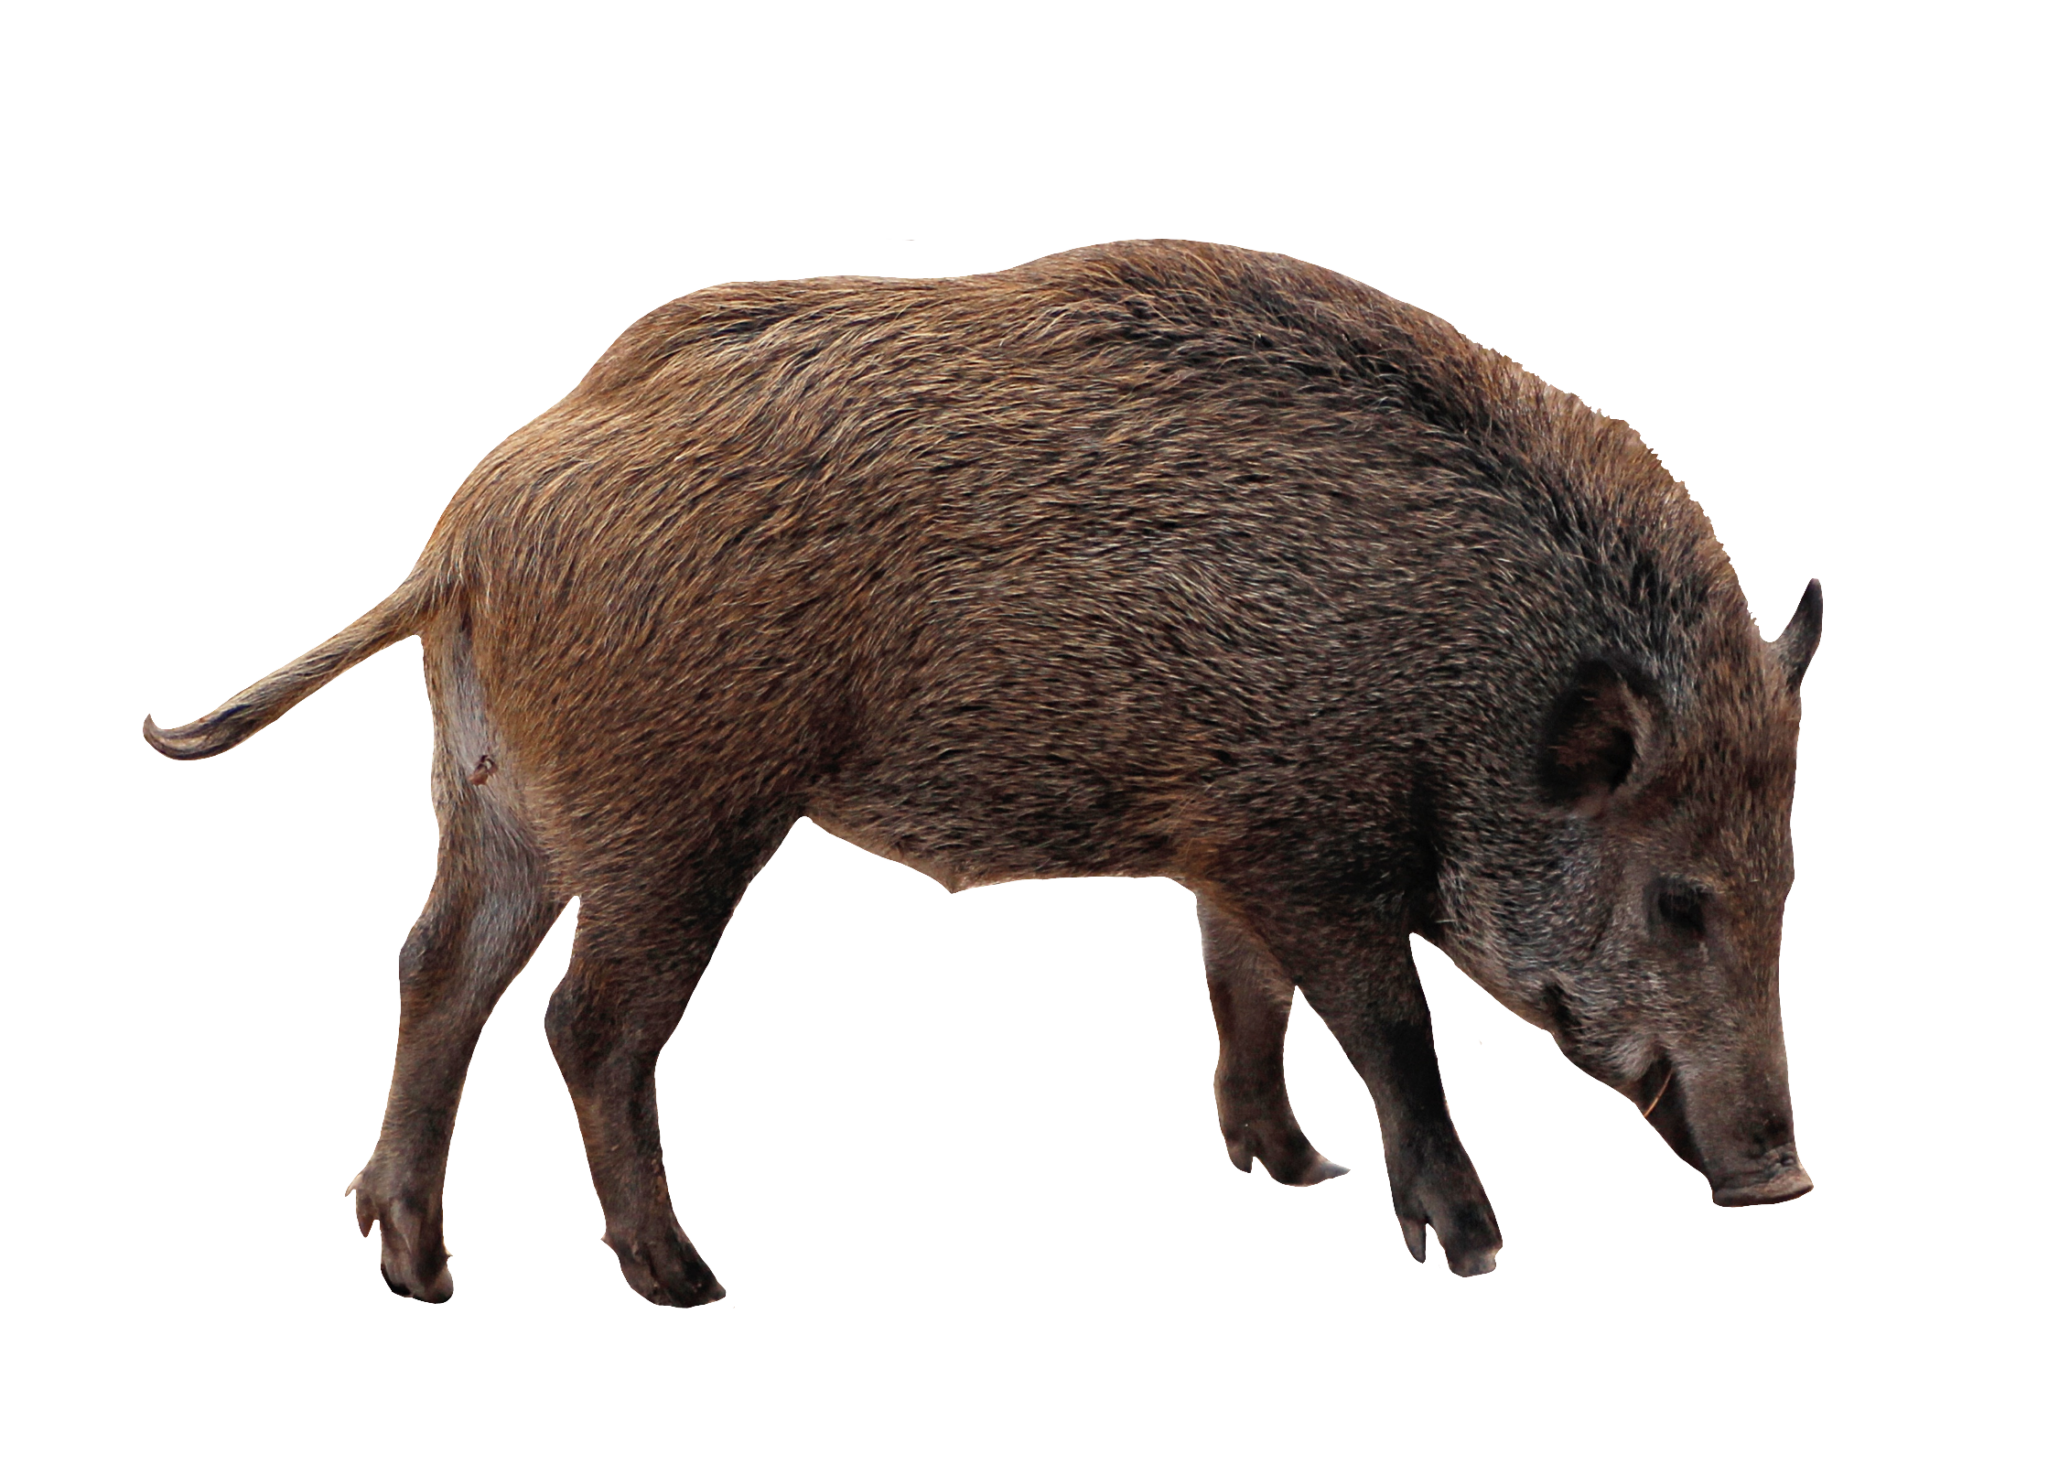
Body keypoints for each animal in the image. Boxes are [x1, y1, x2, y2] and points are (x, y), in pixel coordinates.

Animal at [142, 238, 1821, 1306]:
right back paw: (689, 1281)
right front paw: (1463, 1244)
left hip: (496, 797)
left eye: (1786, 884)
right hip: (678, 812)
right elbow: (1385, 1021)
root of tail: (470, 526)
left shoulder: (1224, 837)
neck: (1464, 687)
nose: (1784, 1181)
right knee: (588, 1022)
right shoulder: (1305, 832)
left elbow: (1245, 997)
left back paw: (413, 1261)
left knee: (438, 967)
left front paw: (1294, 1171)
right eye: (1681, 898)